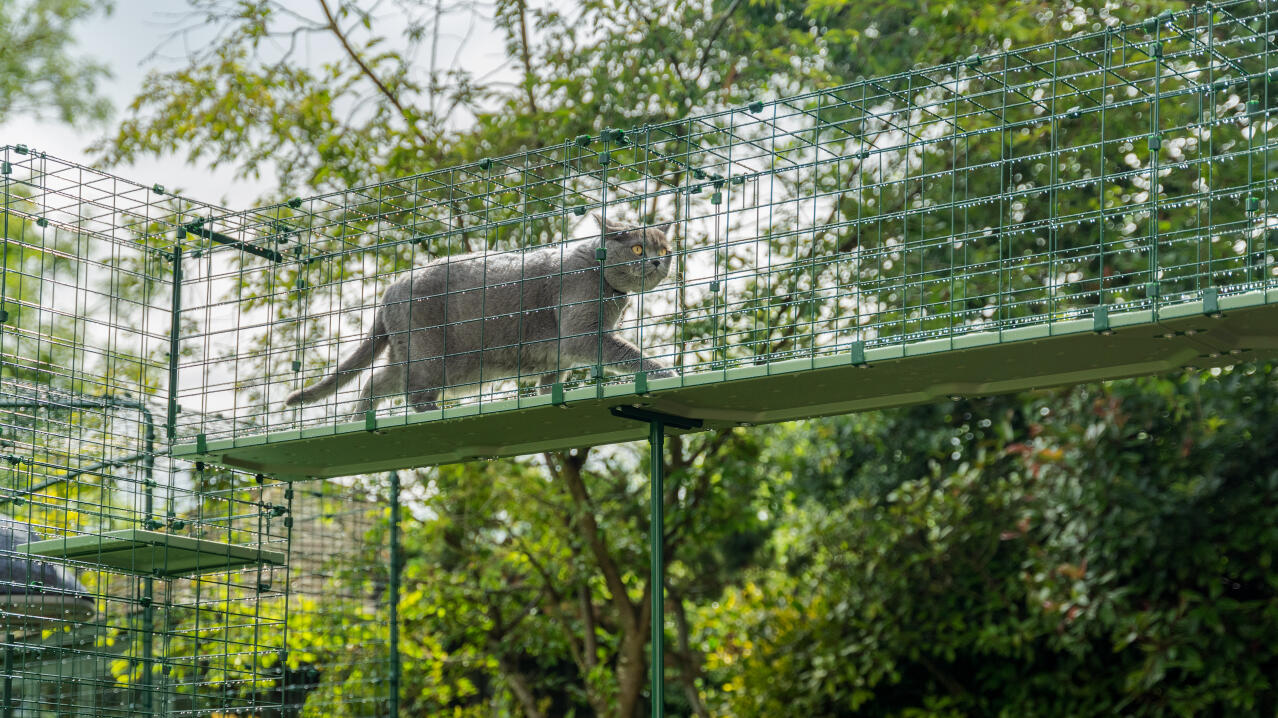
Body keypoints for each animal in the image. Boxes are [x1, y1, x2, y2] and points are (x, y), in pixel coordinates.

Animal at [283, 212, 674, 411]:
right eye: (638, 249)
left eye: (665, 249)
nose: (658, 261)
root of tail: (390, 289)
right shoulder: (582, 335)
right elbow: (627, 353)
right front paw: (664, 372)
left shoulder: (561, 355)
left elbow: (551, 382)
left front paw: (549, 397)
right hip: (433, 357)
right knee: (412, 394)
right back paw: (431, 411)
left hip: (411, 354)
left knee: (375, 382)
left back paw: (363, 418)